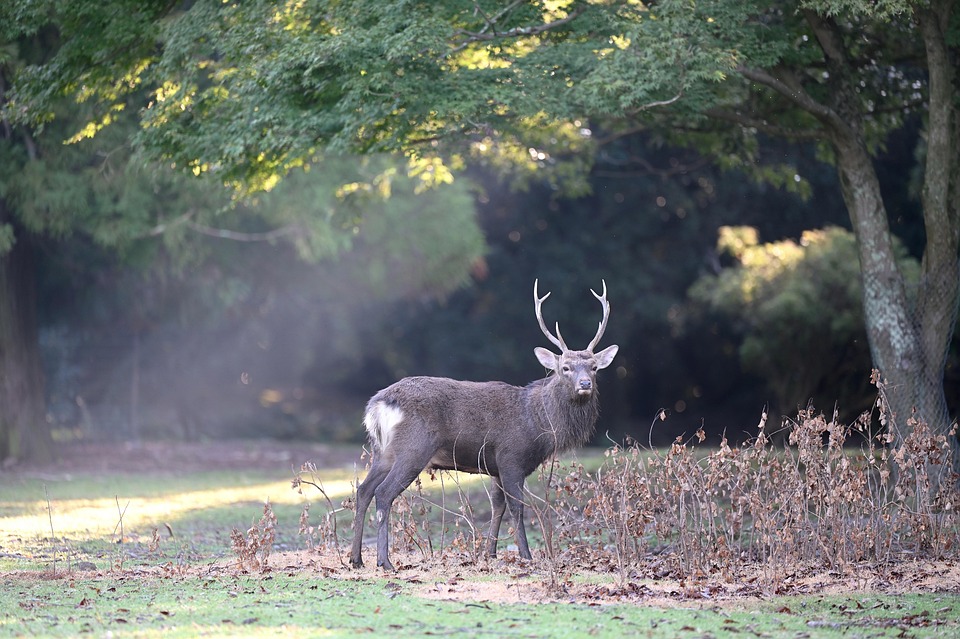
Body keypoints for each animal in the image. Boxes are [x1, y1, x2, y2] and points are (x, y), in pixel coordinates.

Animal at [349, 280, 618, 570]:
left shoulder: (495, 467)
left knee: (363, 490)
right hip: (414, 448)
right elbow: (517, 507)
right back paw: (384, 561)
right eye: (565, 367)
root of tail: (376, 405)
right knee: (383, 493)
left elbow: (497, 507)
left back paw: (356, 558)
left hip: (382, 451)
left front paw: (490, 553)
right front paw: (526, 555)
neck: (538, 423)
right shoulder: (511, 457)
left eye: (594, 367)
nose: (585, 384)